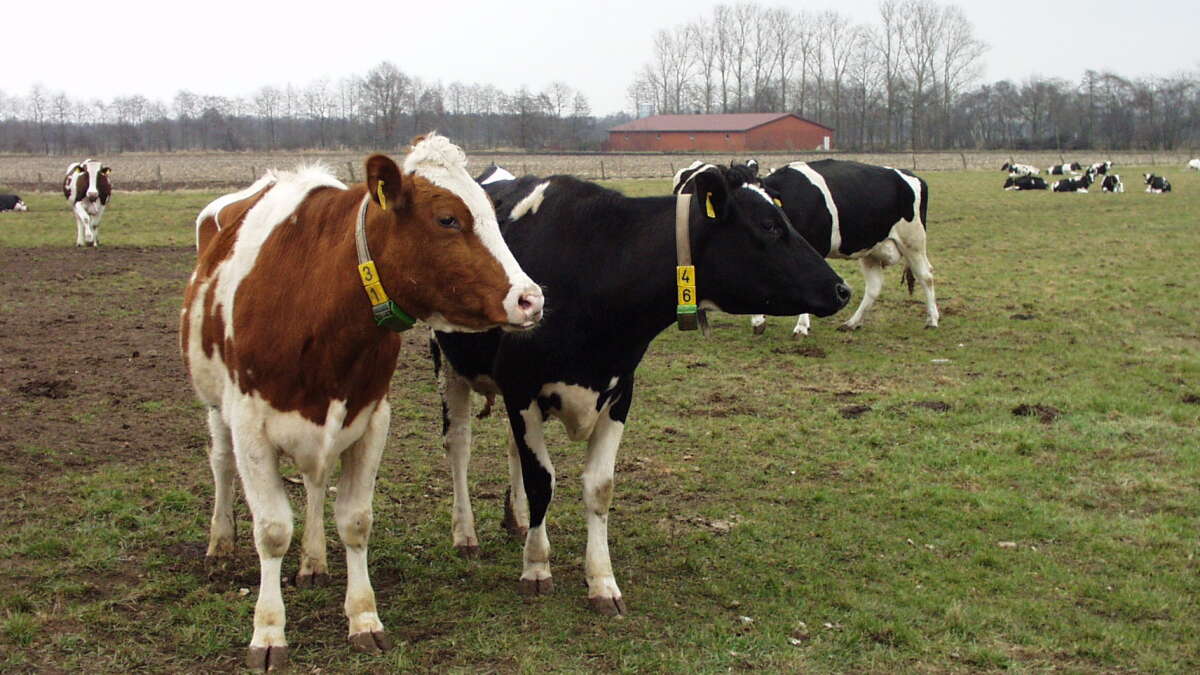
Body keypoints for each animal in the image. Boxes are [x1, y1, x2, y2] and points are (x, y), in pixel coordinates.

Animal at [181, 134, 544, 671]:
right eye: (447, 218)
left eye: (491, 213)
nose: (530, 298)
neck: (317, 303)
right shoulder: (249, 422)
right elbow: (272, 529)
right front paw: (268, 633)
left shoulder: (371, 416)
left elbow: (354, 520)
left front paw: (364, 618)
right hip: (214, 406)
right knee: (222, 464)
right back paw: (220, 543)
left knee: (315, 483)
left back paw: (313, 561)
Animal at [432, 162, 850, 617]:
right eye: (769, 225)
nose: (842, 289)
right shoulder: (521, 385)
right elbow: (542, 480)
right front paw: (537, 568)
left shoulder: (619, 392)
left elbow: (599, 488)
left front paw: (601, 582)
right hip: (447, 363)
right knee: (459, 445)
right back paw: (466, 534)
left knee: (510, 446)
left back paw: (518, 519)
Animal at [738, 159, 936, 337]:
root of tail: (911, 175)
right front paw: (758, 320)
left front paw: (801, 327)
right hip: (871, 249)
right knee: (874, 286)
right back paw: (852, 323)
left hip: (913, 241)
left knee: (926, 276)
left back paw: (932, 320)